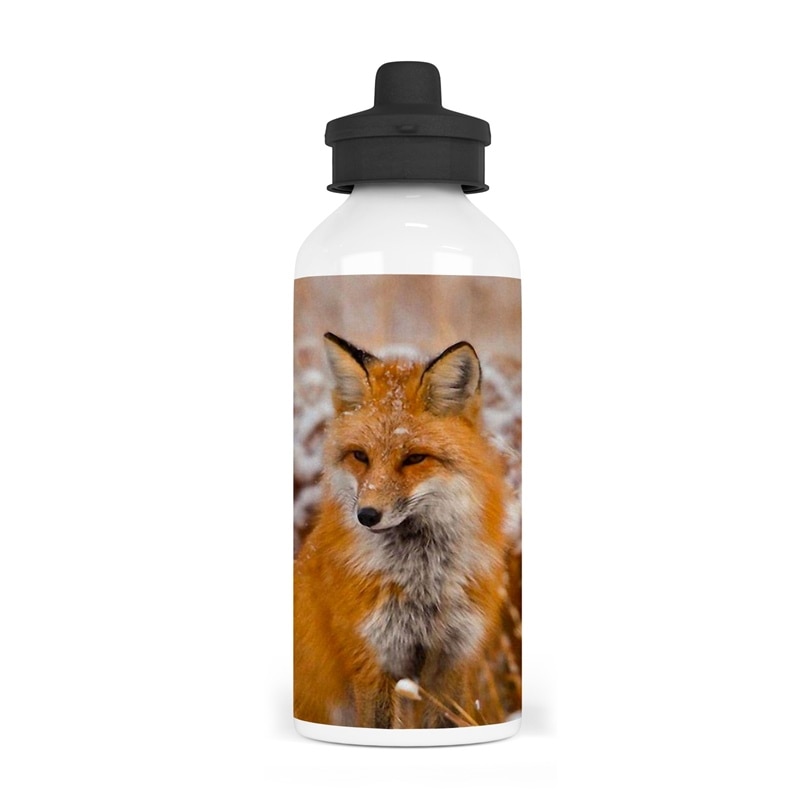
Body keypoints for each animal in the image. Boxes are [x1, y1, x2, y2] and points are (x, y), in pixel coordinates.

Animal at [293, 332, 511, 728]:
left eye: (414, 458)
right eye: (360, 456)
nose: (366, 515)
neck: (421, 579)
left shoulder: (451, 661)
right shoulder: (371, 659)